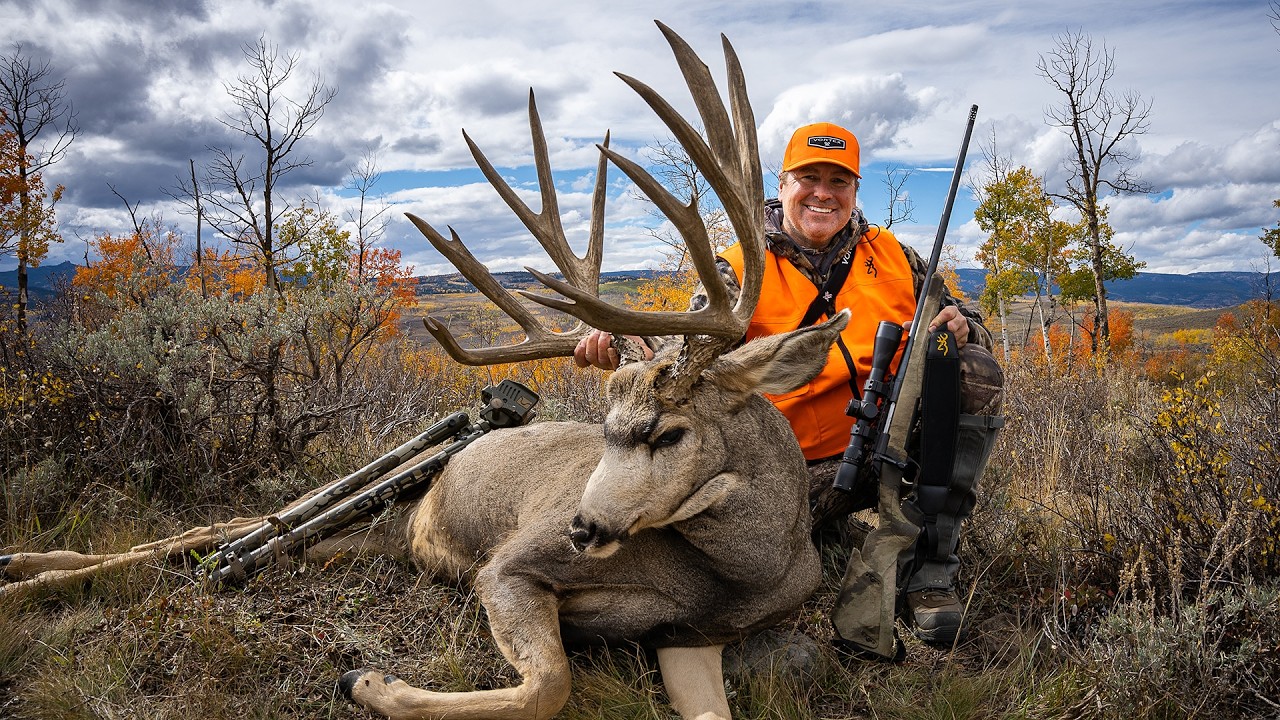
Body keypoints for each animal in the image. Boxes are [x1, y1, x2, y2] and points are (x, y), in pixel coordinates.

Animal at [337, 22, 851, 720]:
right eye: (604, 427)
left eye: (669, 433)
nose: (582, 527)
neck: (750, 572)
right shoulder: (508, 563)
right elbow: (548, 684)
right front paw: (367, 681)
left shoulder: (691, 636)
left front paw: (370, 682)